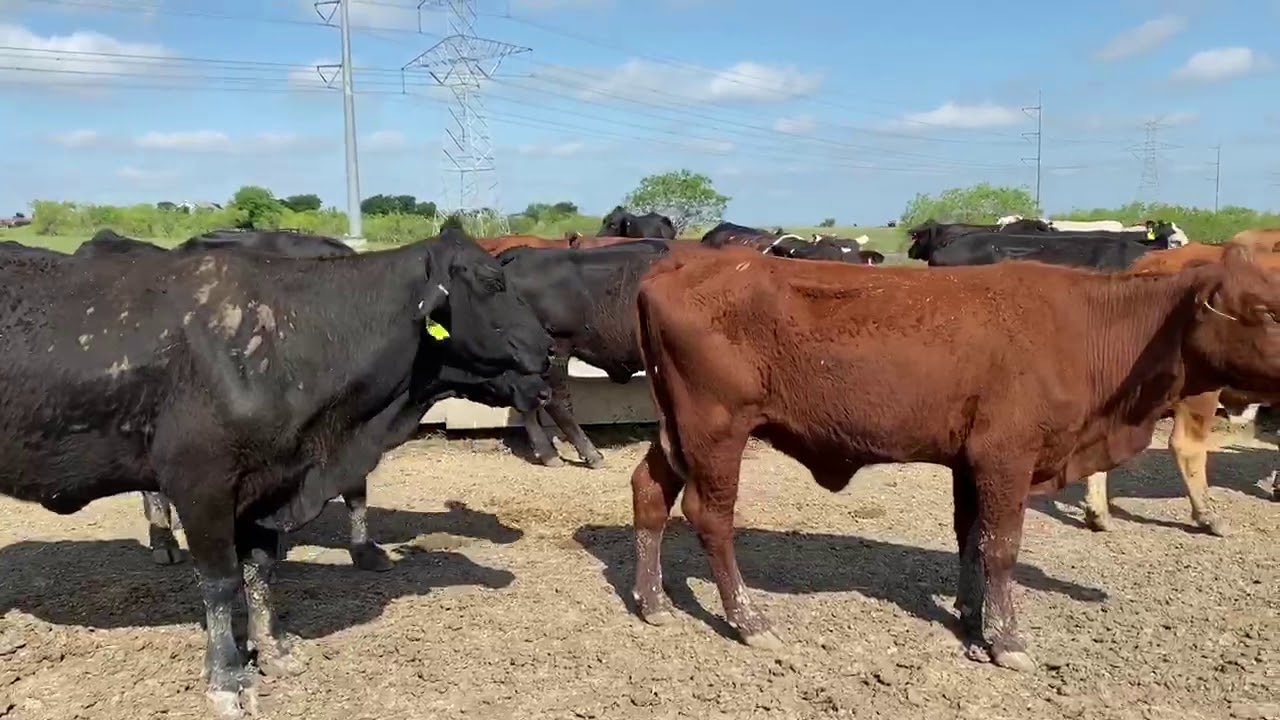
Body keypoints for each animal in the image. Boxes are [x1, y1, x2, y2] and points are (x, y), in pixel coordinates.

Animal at [0, 225, 551, 719]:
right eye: (492, 281)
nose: (548, 350)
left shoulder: (269, 486)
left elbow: (260, 572)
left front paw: (273, 648)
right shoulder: (201, 485)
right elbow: (221, 584)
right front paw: (226, 677)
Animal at [626, 243, 1280, 673]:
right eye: (1267, 310)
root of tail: (682, 262)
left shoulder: (970, 461)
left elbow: (971, 537)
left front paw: (971, 620)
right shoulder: (1006, 457)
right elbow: (1001, 547)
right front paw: (1007, 640)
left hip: (676, 431)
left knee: (649, 493)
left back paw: (652, 602)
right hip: (716, 429)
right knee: (711, 516)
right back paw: (749, 621)